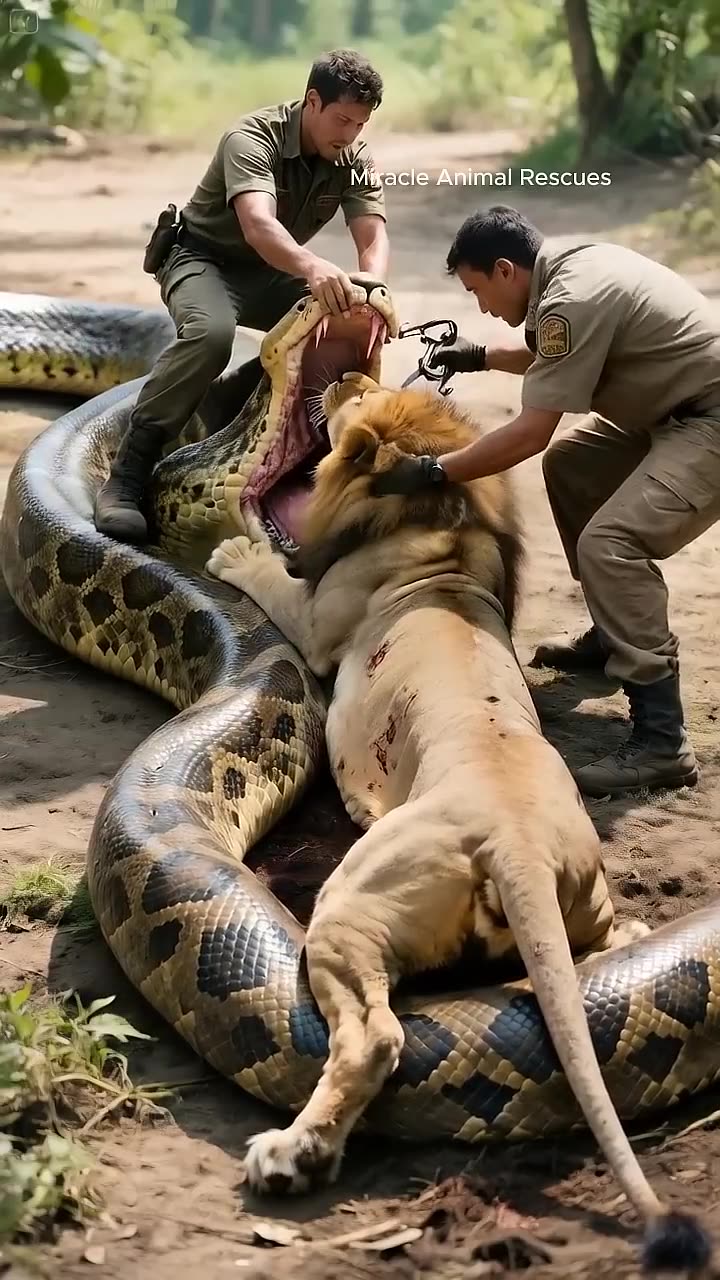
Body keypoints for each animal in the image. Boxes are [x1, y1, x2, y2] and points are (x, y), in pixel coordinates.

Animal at [206, 372, 682, 1249]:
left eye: (362, 399)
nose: (346, 377)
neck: (437, 527)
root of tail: (518, 846)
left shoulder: (319, 628)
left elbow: (274, 580)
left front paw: (236, 553)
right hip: (581, 903)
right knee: (605, 942)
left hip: (349, 902)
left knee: (375, 1038)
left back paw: (293, 1155)